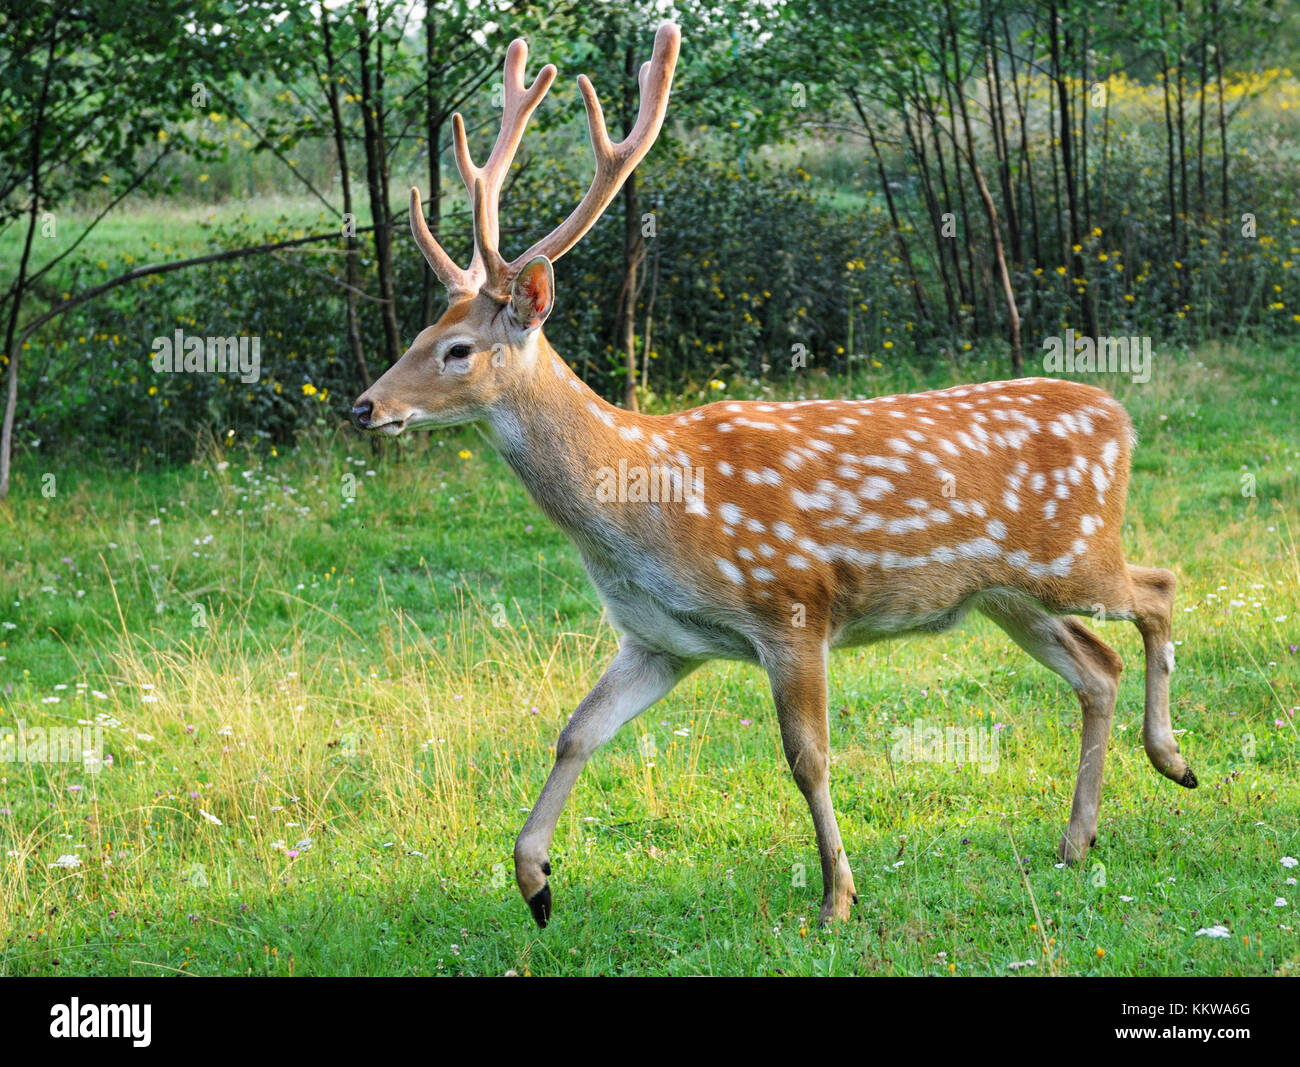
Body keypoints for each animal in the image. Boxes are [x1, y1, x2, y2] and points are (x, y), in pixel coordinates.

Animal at [350, 21, 1196, 929]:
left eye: (457, 349)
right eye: (419, 334)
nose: (365, 406)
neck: (643, 510)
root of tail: (1119, 414)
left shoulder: (791, 605)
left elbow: (807, 758)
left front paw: (836, 898)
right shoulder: (658, 637)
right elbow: (577, 730)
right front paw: (536, 881)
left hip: (1072, 551)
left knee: (1159, 586)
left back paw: (1172, 758)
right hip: (1002, 592)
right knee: (1095, 666)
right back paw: (1078, 838)